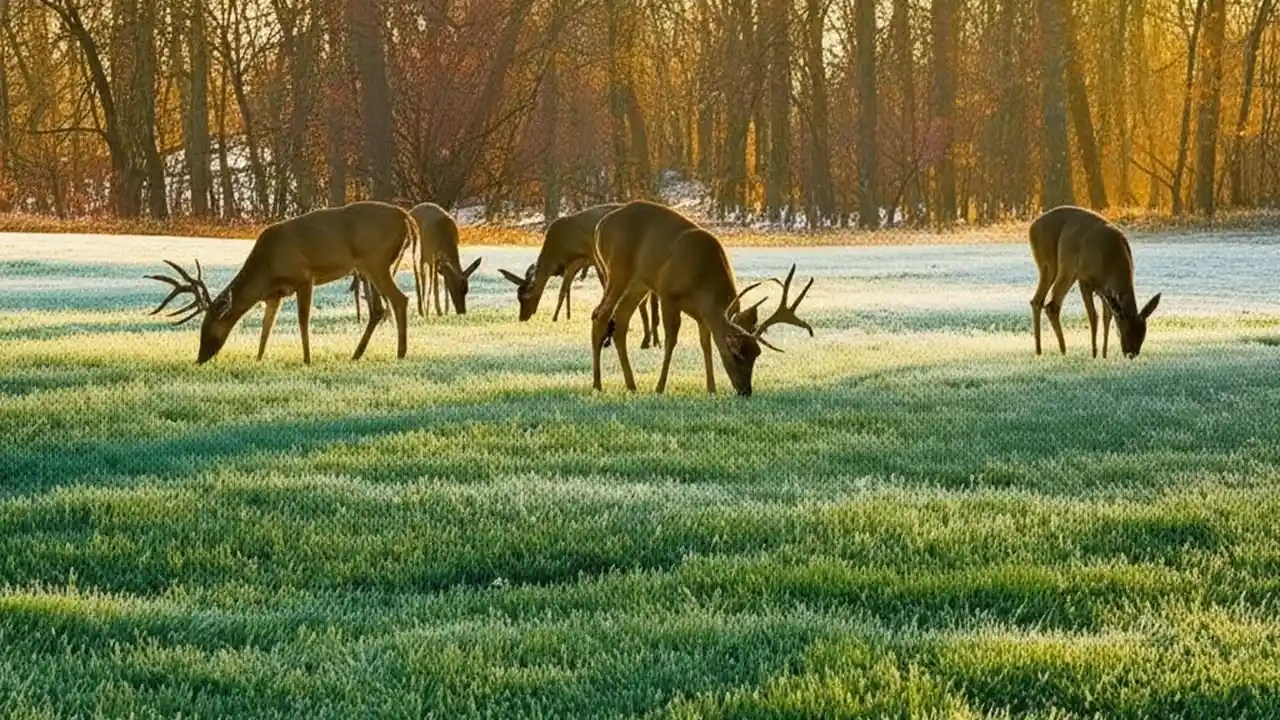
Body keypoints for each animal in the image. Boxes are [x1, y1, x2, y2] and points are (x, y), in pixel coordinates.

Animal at [147, 201, 416, 364]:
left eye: (209, 327)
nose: (200, 358)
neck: (267, 267)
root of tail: (405, 217)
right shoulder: (274, 293)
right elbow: (266, 327)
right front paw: (258, 359)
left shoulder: (305, 277)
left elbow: (302, 320)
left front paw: (307, 360)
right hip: (366, 268)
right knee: (378, 309)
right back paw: (357, 355)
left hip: (377, 261)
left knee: (400, 299)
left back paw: (401, 353)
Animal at [500, 203, 661, 349]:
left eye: (524, 297)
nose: (522, 318)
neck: (555, 255)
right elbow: (568, 290)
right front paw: (567, 316)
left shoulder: (581, 259)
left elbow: (563, 290)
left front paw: (555, 318)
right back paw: (653, 340)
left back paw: (649, 339)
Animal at [590, 200, 814, 397]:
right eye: (737, 353)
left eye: (757, 352)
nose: (745, 391)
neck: (703, 280)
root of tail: (601, 226)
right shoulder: (668, 292)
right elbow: (672, 340)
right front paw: (660, 387)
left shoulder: (703, 311)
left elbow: (706, 343)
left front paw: (711, 389)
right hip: (617, 270)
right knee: (600, 315)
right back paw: (598, 384)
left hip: (639, 283)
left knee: (620, 321)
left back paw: (631, 385)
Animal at [1030, 205, 1162, 359]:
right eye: (1125, 329)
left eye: (1142, 334)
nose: (1131, 353)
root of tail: (1032, 227)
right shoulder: (1085, 279)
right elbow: (1093, 315)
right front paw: (1094, 354)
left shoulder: (1104, 289)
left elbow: (1107, 316)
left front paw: (1104, 355)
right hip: (1056, 265)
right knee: (1051, 305)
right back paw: (1062, 350)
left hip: (1055, 269)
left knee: (1037, 301)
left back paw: (1039, 350)